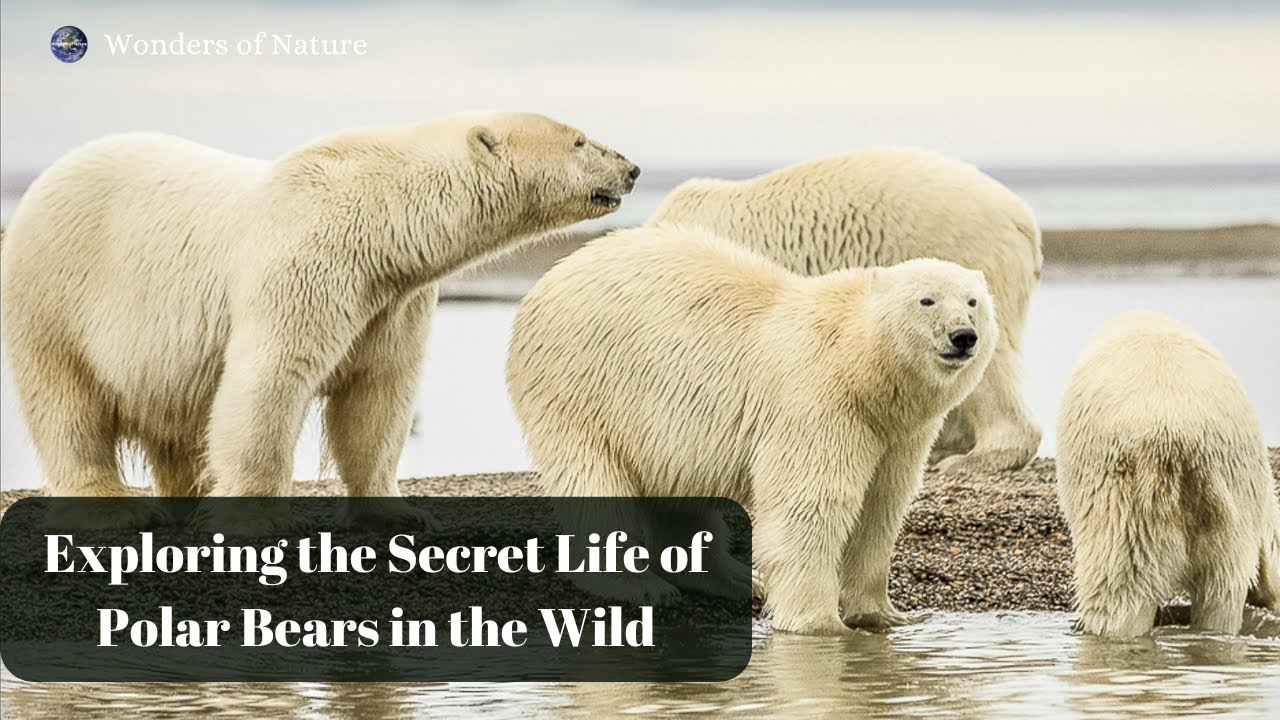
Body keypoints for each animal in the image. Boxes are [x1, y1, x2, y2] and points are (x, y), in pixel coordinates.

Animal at [0, 112, 639, 527]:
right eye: (580, 140)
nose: (632, 168)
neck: (382, 217)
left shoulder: (392, 299)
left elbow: (376, 395)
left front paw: (399, 515)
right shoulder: (308, 265)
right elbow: (270, 379)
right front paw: (254, 521)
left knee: (179, 423)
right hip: (54, 291)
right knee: (66, 400)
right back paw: (110, 500)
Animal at [505, 225, 997, 634]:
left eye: (973, 301)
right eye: (926, 300)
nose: (963, 336)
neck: (860, 366)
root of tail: (551, 276)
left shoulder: (898, 432)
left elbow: (882, 505)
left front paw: (884, 614)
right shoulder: (818, 403)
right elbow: (810, 504)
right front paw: (819, 623)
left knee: (680, 498)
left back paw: (739, 579)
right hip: (582, 387)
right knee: (595, 481)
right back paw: (640, 585)